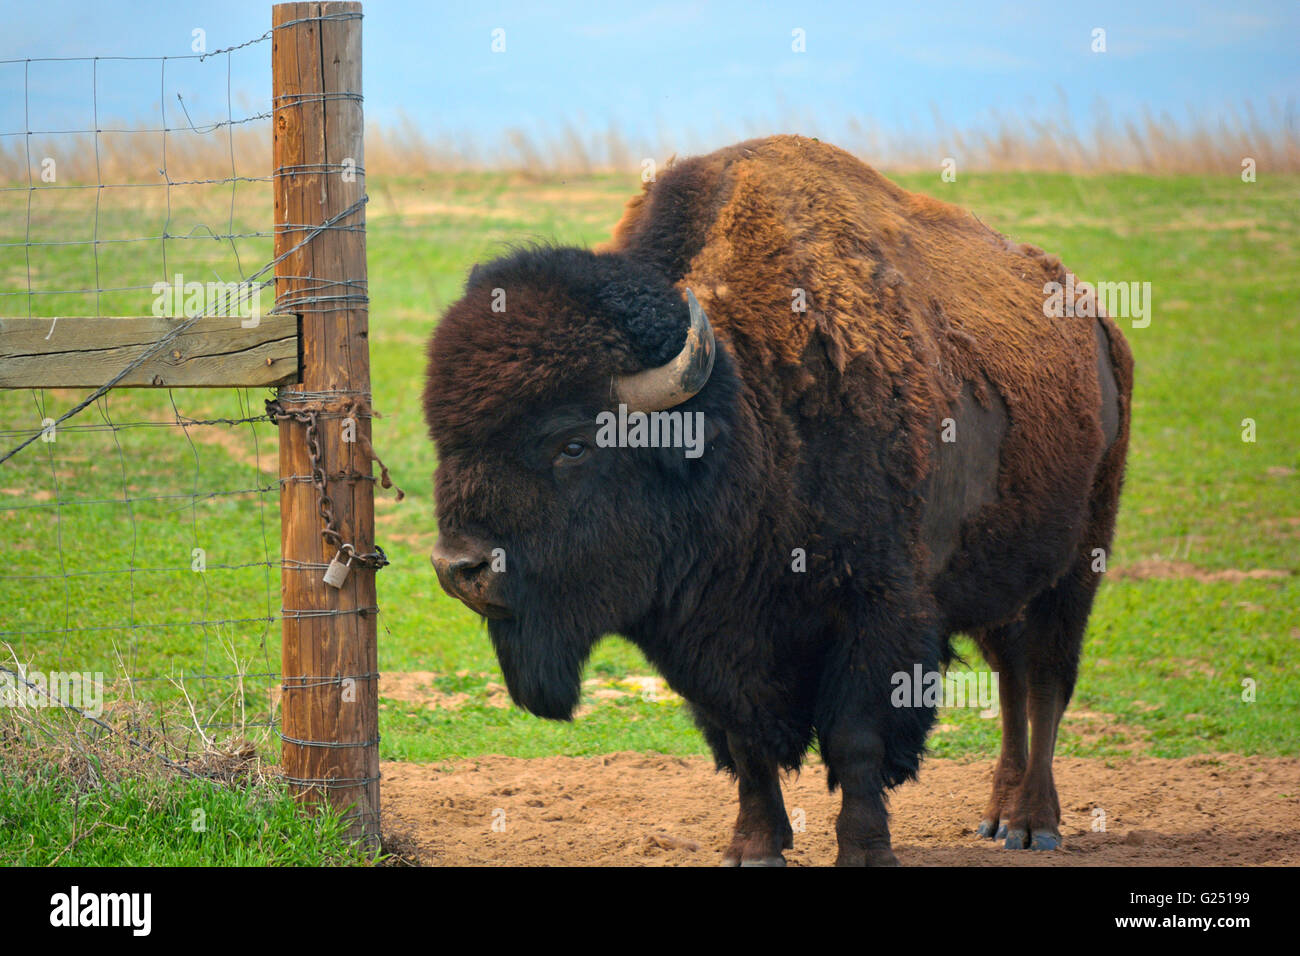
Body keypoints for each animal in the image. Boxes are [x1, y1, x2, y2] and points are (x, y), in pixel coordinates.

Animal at [424, 135, 1132, 865]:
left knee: (1043, 682)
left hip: (1076, 564)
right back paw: (997, 818)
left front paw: (864, 851)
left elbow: (857, 739)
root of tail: (1096, 322)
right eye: (442, 439)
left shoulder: (876, 612)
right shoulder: (711, 638)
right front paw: (754, 846)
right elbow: (744, 742)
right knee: (1013, 682)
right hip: (1004, 581)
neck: (751, 413)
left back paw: (1033, 824)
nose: (459, 568)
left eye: (572, 445)